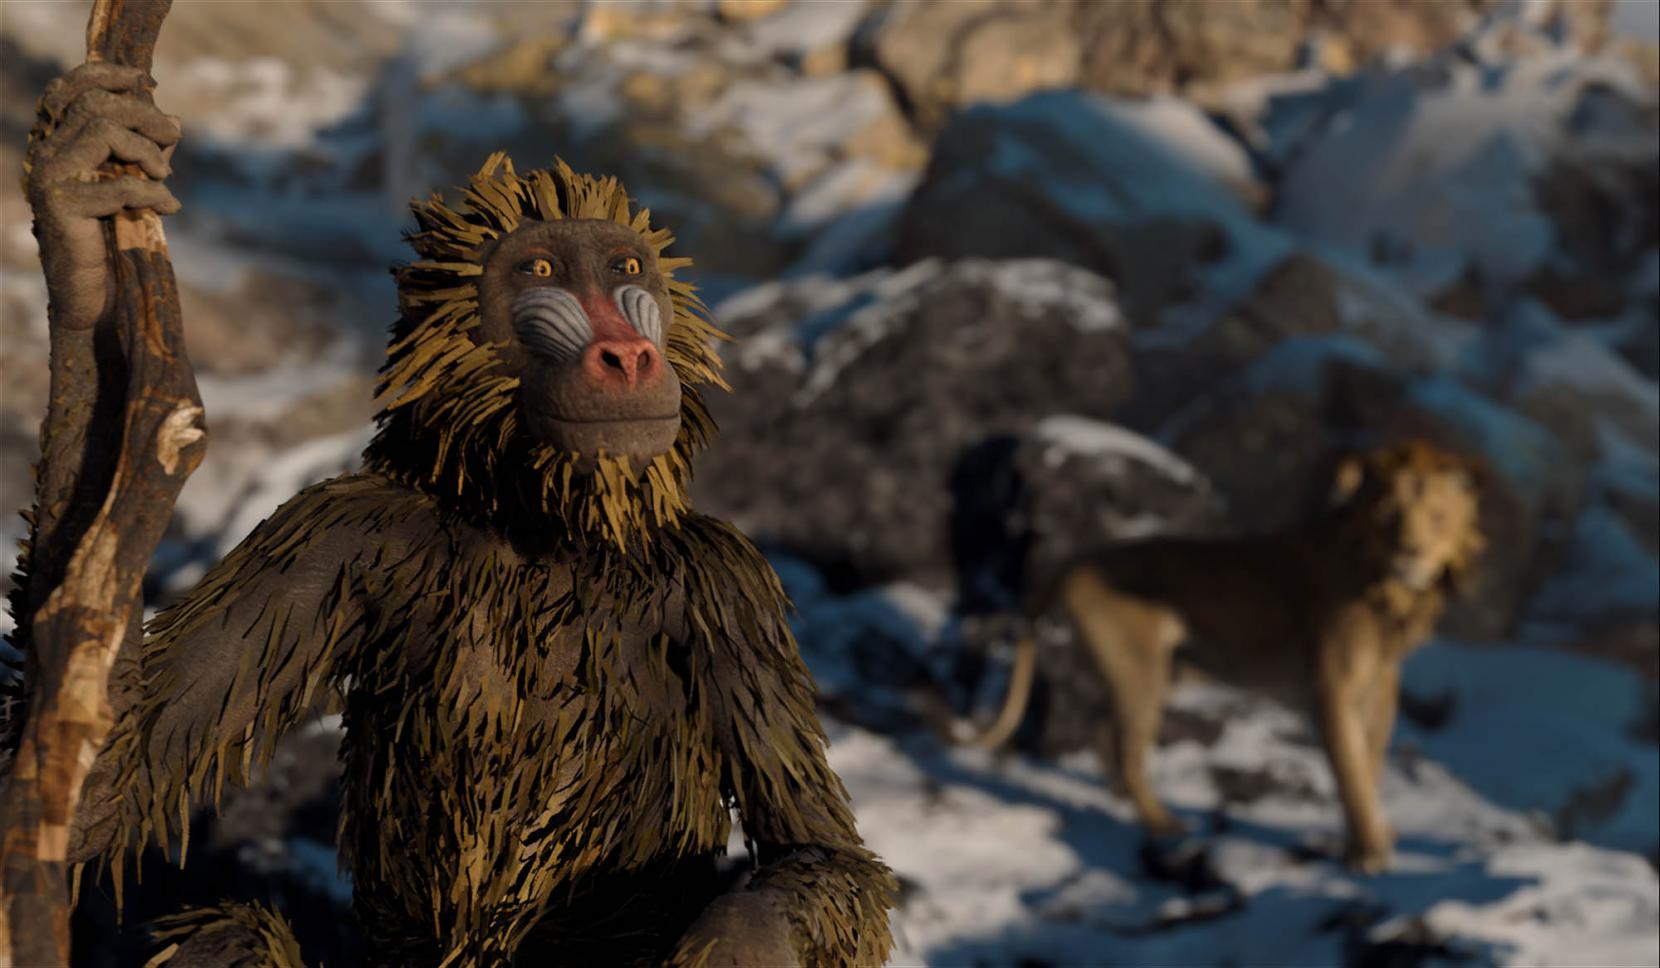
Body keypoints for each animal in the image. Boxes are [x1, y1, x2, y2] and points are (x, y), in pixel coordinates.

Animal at [964, 439, 1486, 872]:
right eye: (1387, 514)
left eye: (1437, 515)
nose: (1411, 553)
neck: (1395, 597)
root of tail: (1077, 561)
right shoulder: (1330, 687)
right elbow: (1349, 768)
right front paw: (1367, 853)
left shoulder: (1378, 685)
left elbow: (1369, 760)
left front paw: (1375, 833)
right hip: (1141, 670)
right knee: (1127, 747)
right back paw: (1163, 822)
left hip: (1161, 673)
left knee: (1100, 729)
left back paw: (1122, 800)